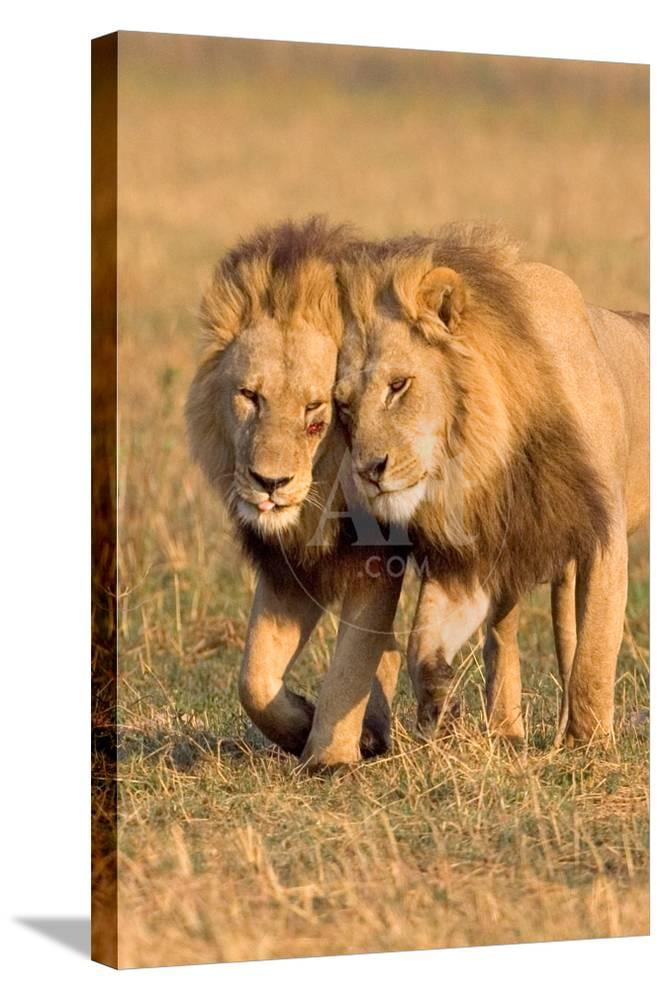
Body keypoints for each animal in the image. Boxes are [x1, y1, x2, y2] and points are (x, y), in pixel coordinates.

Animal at [185, 218, 406, 769]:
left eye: (313, 410)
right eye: (249, 396)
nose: (270, 483)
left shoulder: (376, 562)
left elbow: (350, 662)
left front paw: (331, 758)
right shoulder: (288, 569)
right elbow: (254, 678)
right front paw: (301, 725)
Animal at [335, 226, 648, 746]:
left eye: (399, 385)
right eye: (343, 406)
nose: (367, 470)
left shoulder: (604, 536)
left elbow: (596, 651)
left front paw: (590, 745)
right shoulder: (479, 549)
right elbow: (424, 639)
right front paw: (440, 703)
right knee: (507, 636)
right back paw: (505, 730)